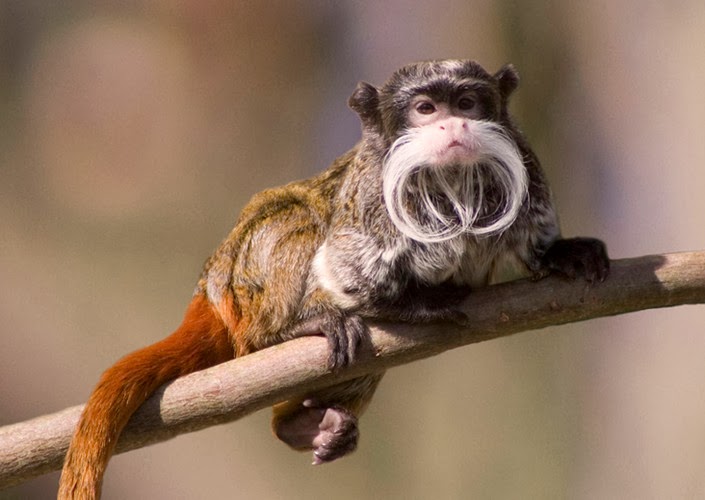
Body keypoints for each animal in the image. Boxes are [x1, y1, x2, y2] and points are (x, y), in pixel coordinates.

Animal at [58, 59, 609, 499]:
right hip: (244, 281)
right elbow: (348, 270)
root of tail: (209, 282)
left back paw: (301, 425)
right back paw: (289, 331)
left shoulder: (525, 168)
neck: (452, 187)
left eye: (468, 103)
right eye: (425, 108)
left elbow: (532, 246)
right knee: (297, 220)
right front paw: (422, 304)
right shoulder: (372, 202)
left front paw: (565, 254)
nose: (453, 124)